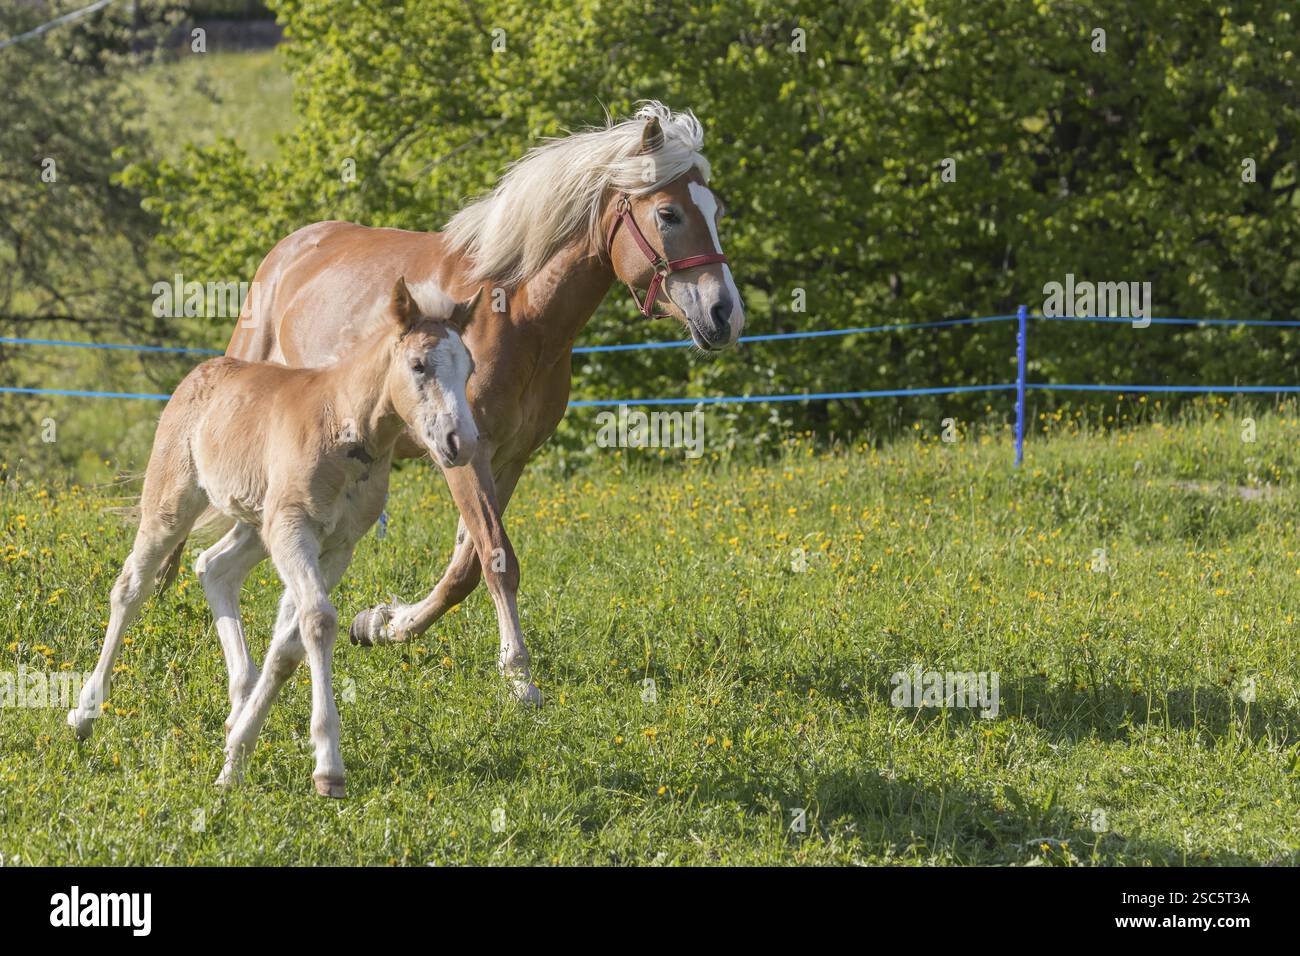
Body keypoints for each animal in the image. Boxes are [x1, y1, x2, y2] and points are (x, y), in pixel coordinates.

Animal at [68, 280, 479, 797]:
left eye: (469, 368)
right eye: (419, 365)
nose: (461, 442)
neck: (346, 428)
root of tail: (202, 372)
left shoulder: (337, 546)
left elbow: (288, 646)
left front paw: (236, 754)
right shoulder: (293, 529)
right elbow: (318, 621)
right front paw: (328, 767)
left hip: (255, 525)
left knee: (214, 569)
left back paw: (237, 704)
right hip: (173, 502)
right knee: (131, 587)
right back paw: (85, 714)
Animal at [223, 101, 744, 708]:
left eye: (716, 210)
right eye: (668, 213)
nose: (725, 314)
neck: (517, 310)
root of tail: (292, 249)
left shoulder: (509, 458)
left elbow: (466, 567)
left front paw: (384, 623)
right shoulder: (464, 455)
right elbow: (497, 558)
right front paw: (519, 676)